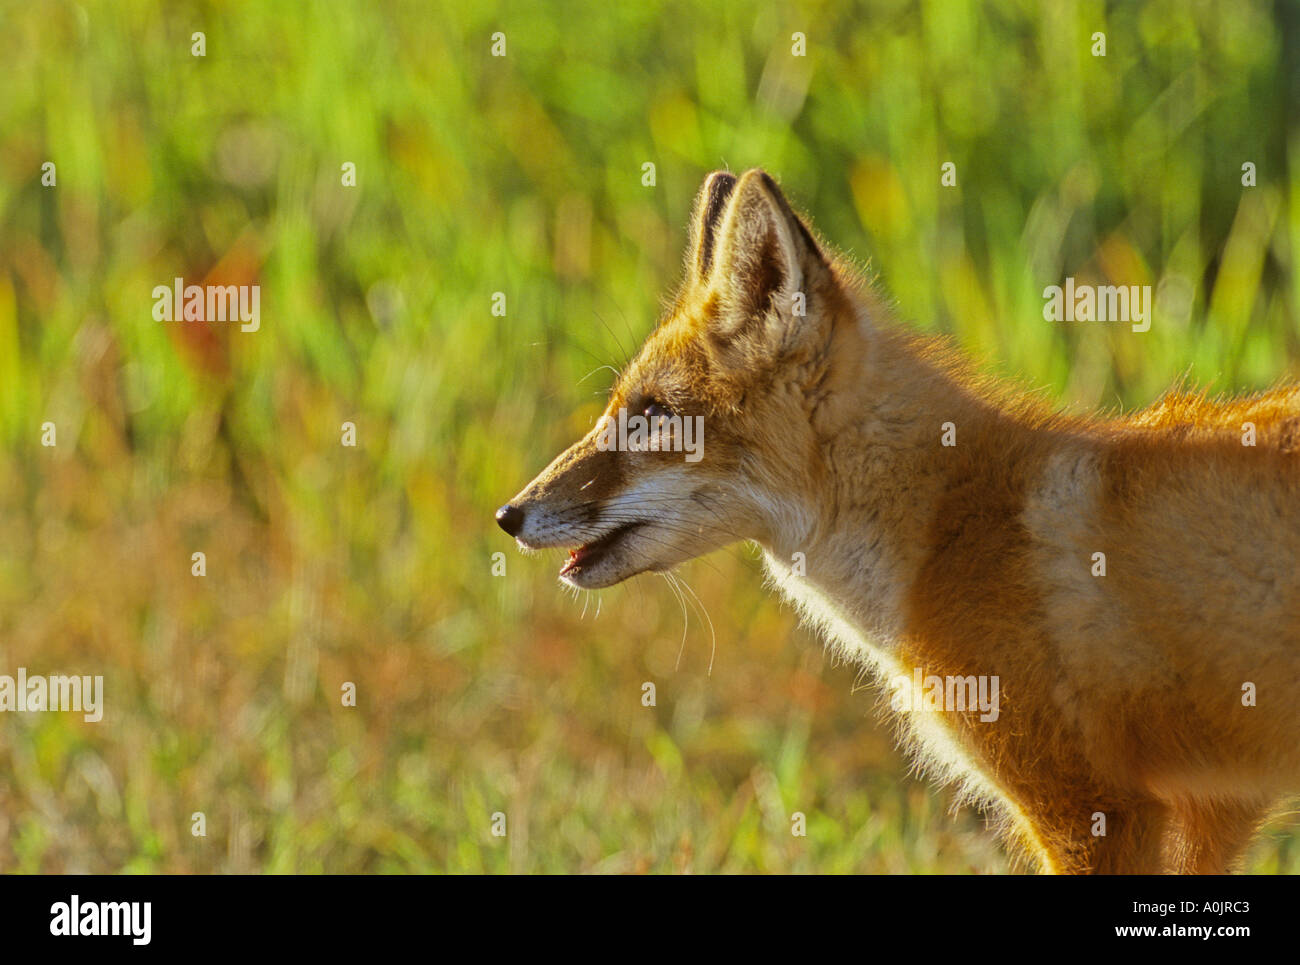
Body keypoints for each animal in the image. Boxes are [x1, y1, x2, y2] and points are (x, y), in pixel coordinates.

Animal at [496, 168, 1300, 874]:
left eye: (654, 415)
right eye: (619, 408)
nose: (509, 514)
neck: (944, 530)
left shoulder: (1093, 810)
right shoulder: (1211, 809)